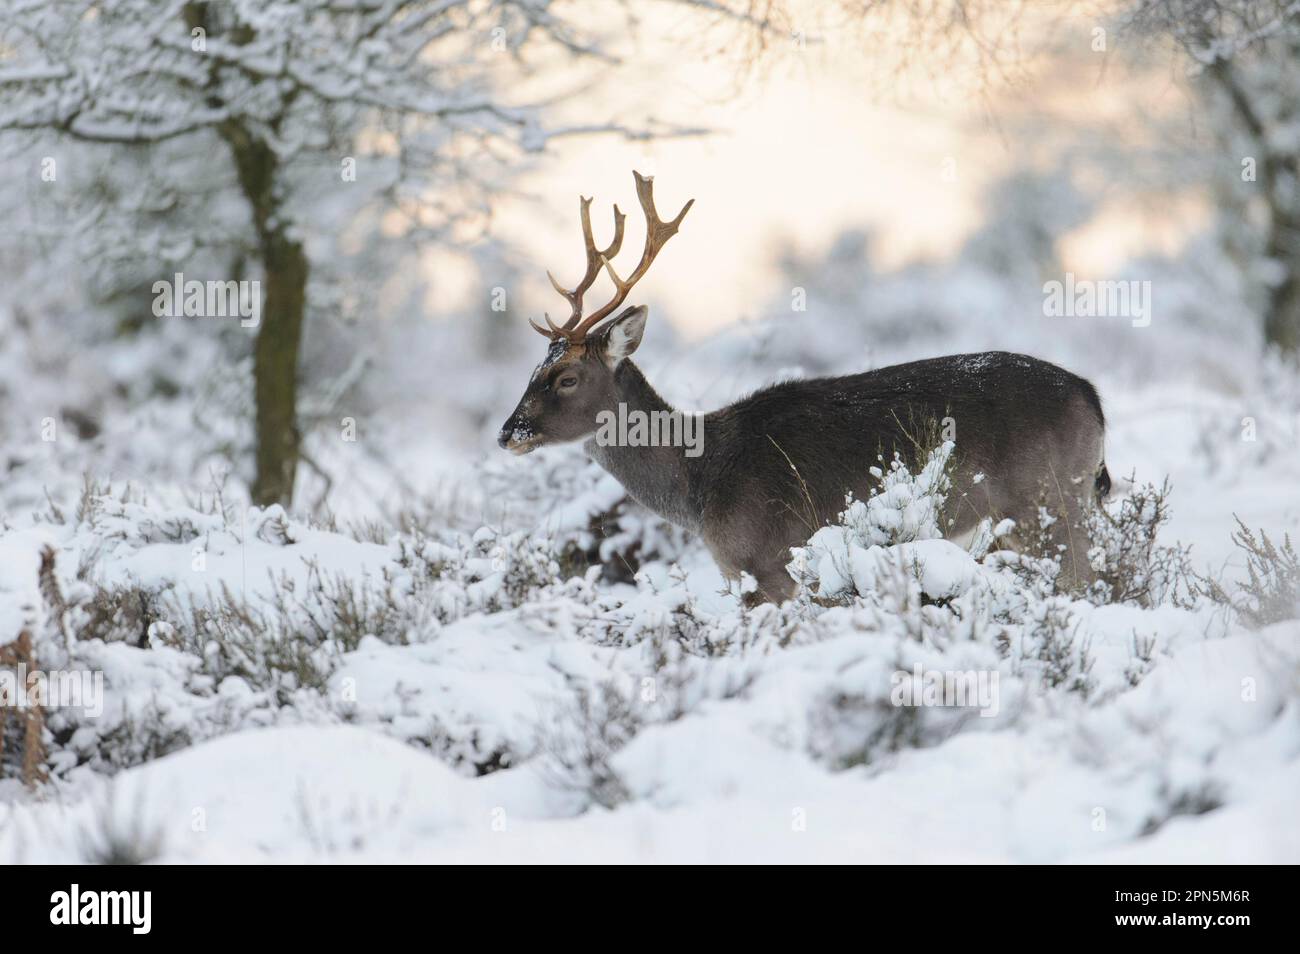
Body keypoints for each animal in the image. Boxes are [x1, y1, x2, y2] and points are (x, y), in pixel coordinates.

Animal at [499, 171, 1110, 603]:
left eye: (566, 377)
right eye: (531, 370)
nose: (509, 433)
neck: (700, 480)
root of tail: (1093, 398)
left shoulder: (765, 564)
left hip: (1048, 499)